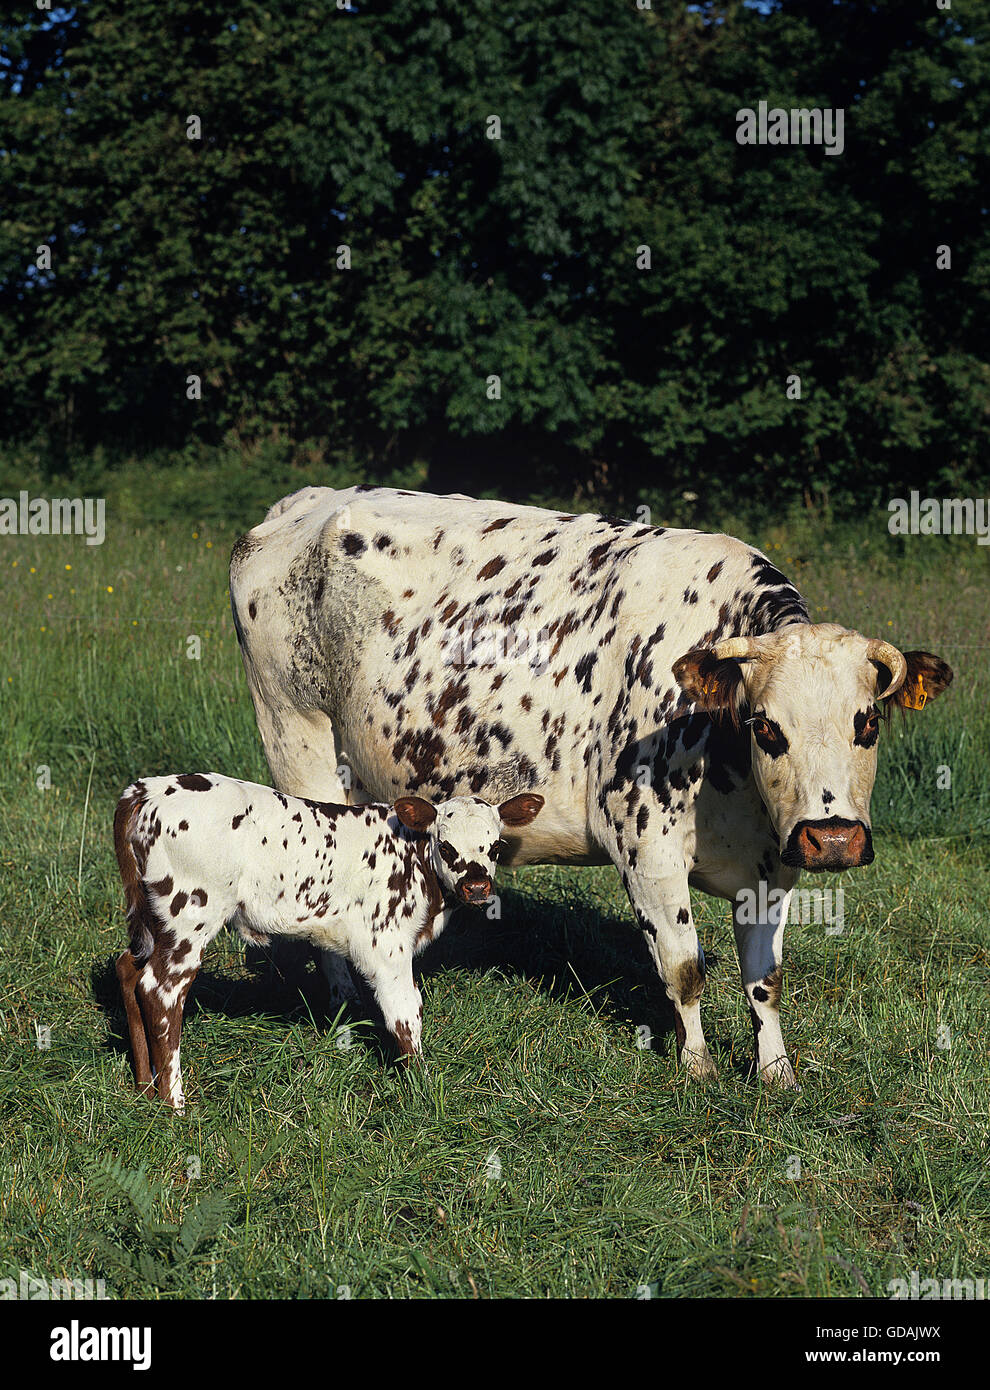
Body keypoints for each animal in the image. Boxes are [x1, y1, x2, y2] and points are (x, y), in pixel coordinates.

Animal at [228, 485, 952, 1087]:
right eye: (767, 725)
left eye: (868, 722)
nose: (833, 838)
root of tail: (308, 502)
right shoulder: (646, 847)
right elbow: (684, 969)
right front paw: (697, 1067)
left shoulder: (774, 862)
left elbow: (765, 979)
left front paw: (776, 1073)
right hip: (298, 743)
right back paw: (344, 1005)